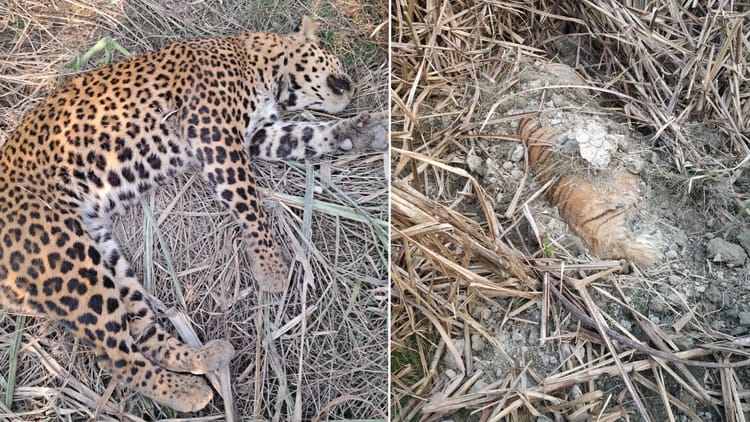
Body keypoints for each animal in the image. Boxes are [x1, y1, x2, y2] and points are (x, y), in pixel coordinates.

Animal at [0, 16, 385, 412]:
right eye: (334, 58)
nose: (353, 86)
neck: (258, 61)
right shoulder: (214, 132)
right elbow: (248, 198)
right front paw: (271, 267)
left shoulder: (259, 135)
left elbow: (307, 134)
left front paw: (356, 131)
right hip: (71, 267)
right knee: (115, 356)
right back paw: (186, 392)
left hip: (104, 253)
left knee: (143, 333)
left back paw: (205, 359)